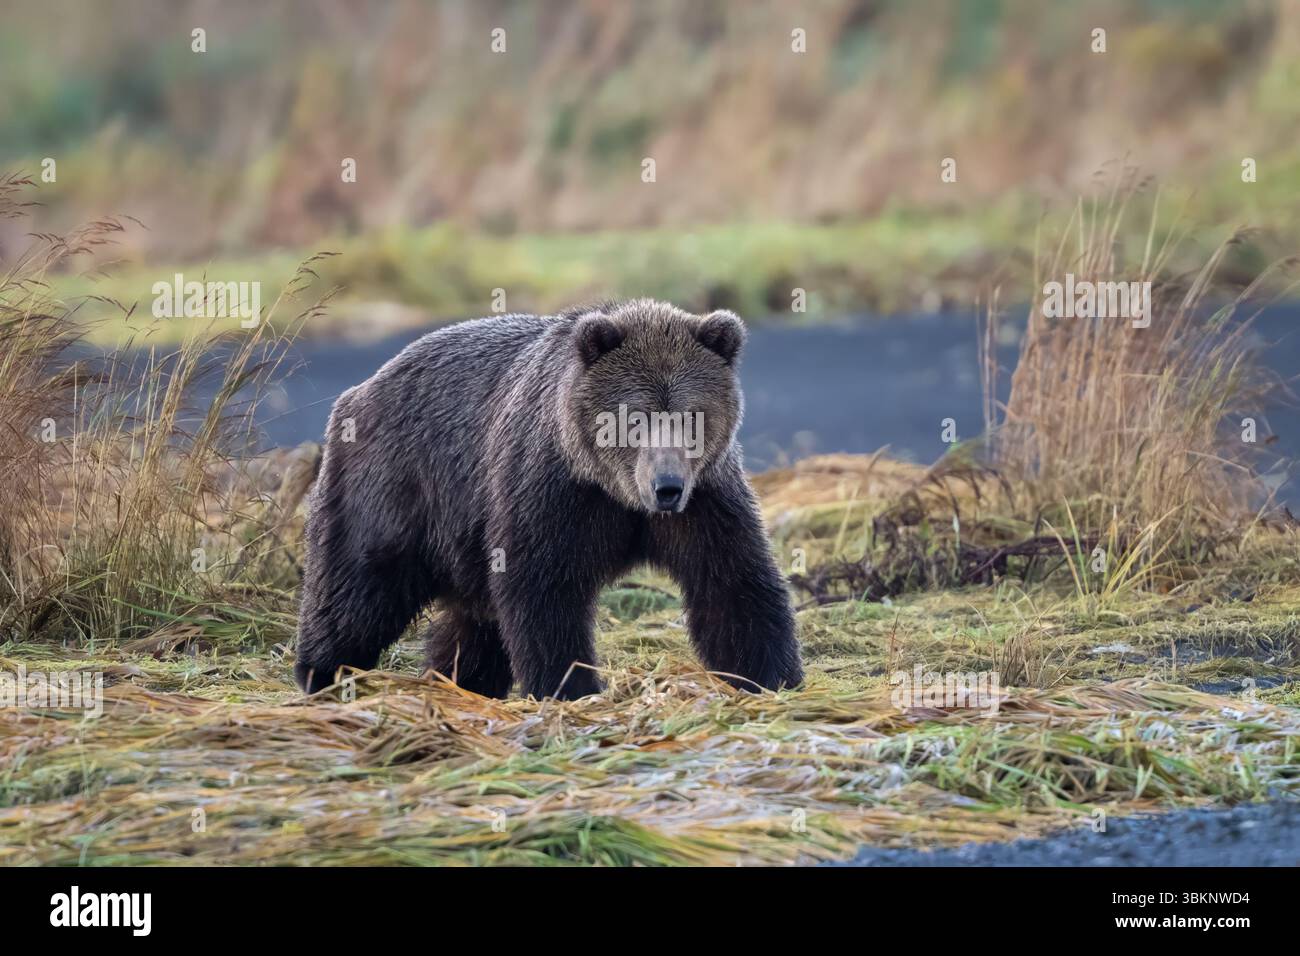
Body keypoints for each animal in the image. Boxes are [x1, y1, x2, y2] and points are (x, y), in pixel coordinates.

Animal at [294, 298, 803, 700]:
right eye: (634, 417)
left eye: (691, 417)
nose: (667, 486)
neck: (616, 493)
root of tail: (367, 383)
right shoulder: (550, 492)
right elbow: (543, 589)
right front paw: (571, 687)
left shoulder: (705, 499)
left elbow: (732, 581)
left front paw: (771, 676)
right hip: (397, 481)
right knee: (360, 584)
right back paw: (323, 671)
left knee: (475, 619)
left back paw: (460, 680)